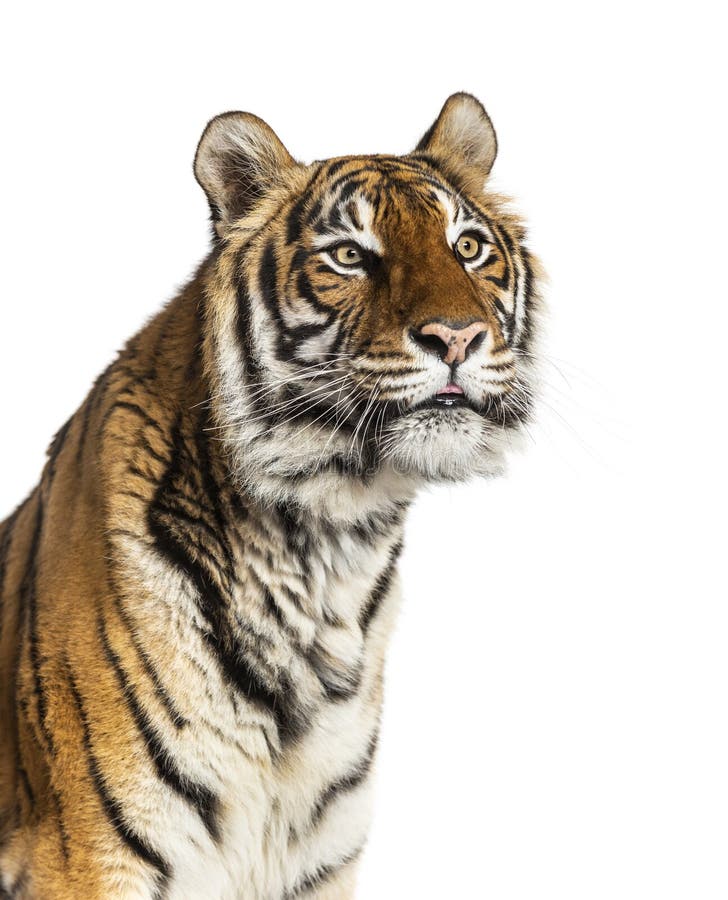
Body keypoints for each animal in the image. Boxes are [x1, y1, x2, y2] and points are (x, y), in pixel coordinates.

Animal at [0, 92, 542, 899]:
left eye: (469, 247)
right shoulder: (87, 857)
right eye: (348, 255)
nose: (458, 336)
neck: (327, 545)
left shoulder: (318, 861)